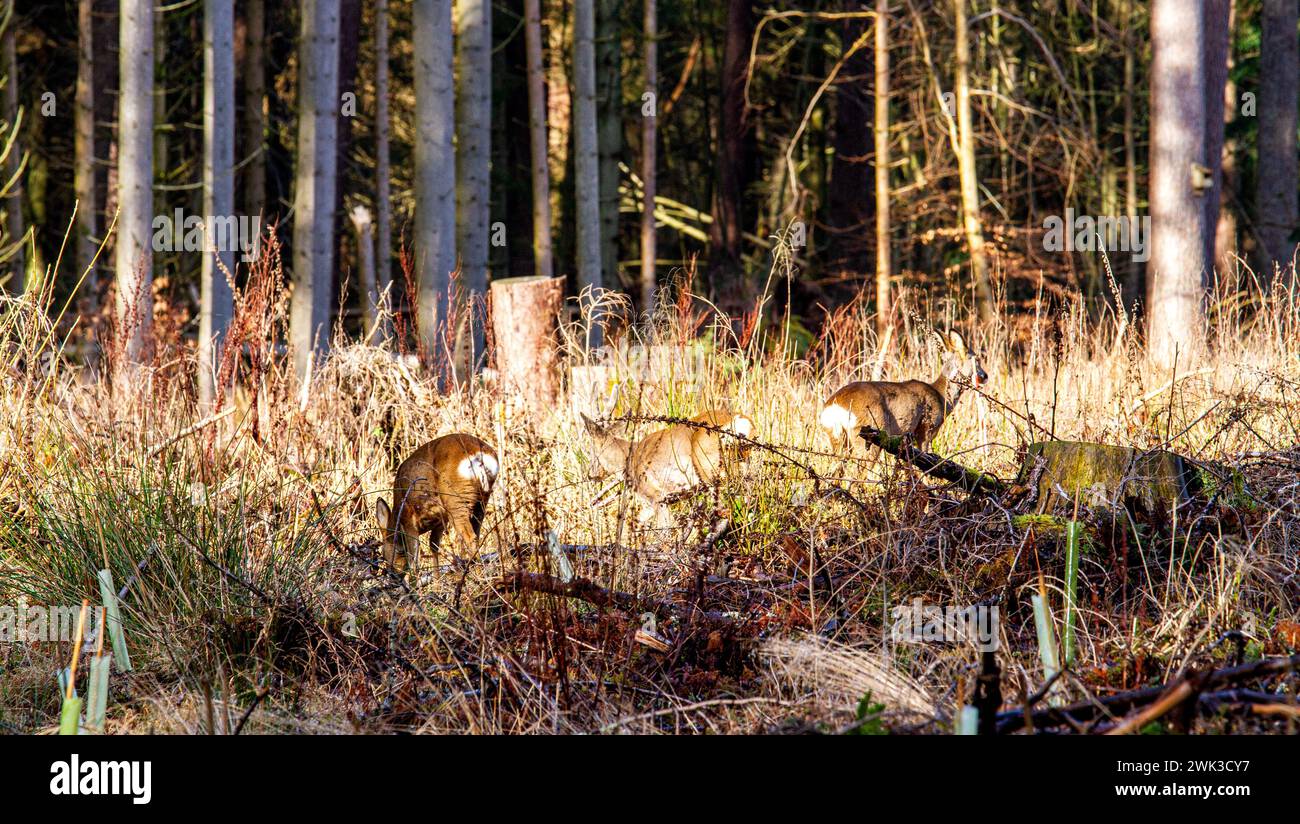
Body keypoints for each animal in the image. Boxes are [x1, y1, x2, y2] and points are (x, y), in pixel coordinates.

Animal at [374, 433, 498, 575]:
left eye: (384, 553)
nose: (392, 572)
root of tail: (478, 456)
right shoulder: (440, 520)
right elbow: (433, 545)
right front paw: (436, 578)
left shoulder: (408, 518)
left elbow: (413, 557)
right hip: (482, 499)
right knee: (477, 534)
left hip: (455, 499)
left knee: (470, 536)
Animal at [581, 409, 754, 528]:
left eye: (591, 451)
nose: (590, 474)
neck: (629, 460)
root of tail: (739, 420)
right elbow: (636, 520)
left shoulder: (656, 495)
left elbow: (665, 528)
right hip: (742, 461)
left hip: (709, 468)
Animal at [818, 330, 987, 462]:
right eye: (977, 359)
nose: (985, 376)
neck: (942, 398)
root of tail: (834, 406)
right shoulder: (926, 429)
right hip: (868, 432)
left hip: (837, 438)